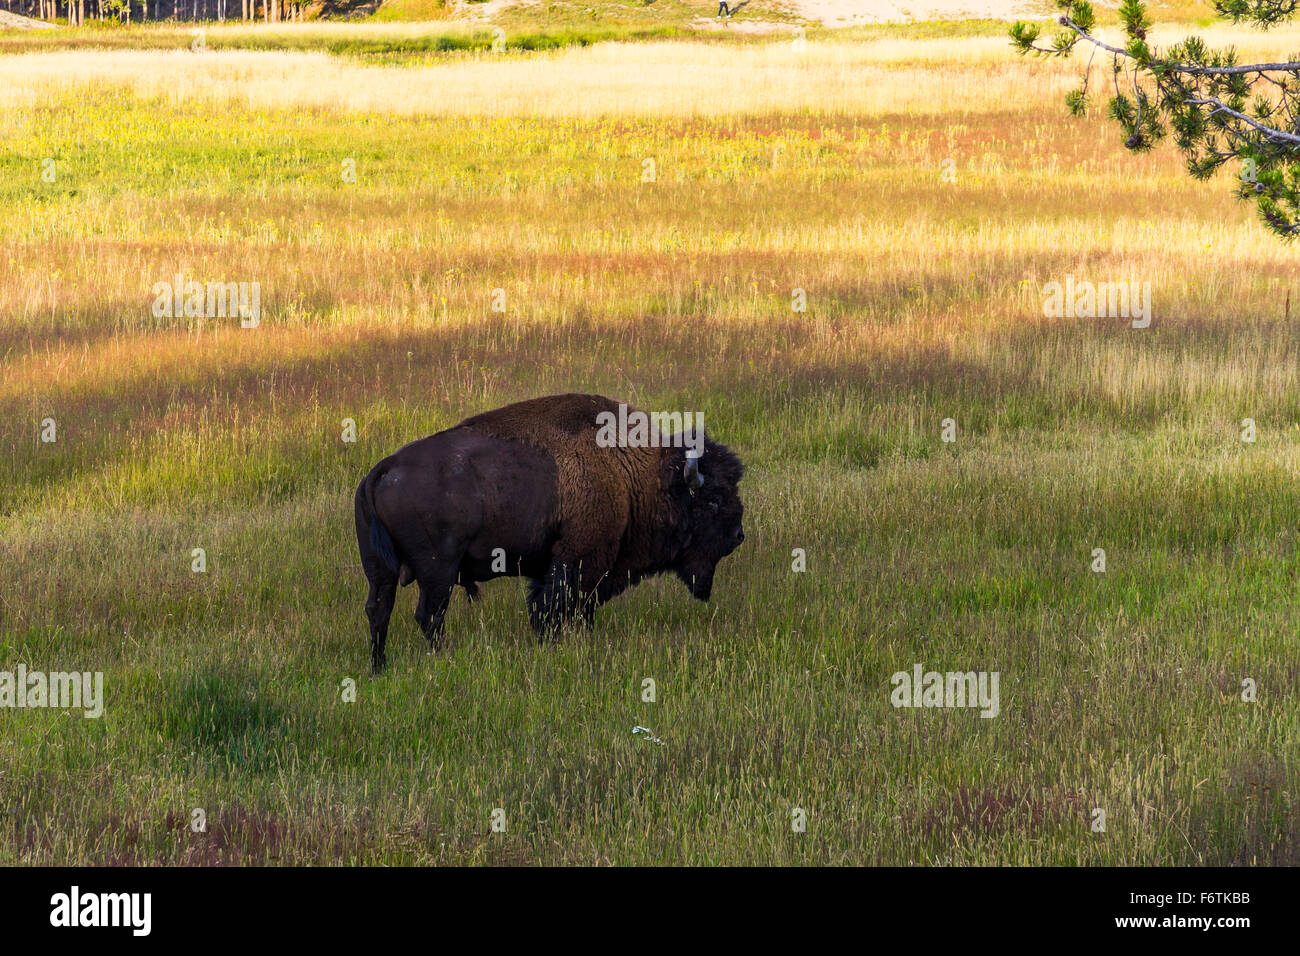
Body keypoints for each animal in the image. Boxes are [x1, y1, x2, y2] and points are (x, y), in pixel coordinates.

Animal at [354, 393, 745, 672]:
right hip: (439, 570)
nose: (738, 535)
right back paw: (443, 658)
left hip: (380, 569)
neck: (636, 472)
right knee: (429, 614)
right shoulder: (580, 562)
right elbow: (557, 607)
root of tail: (380, 472)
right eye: (713, 499)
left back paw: (379, 667)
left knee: (379, 609)